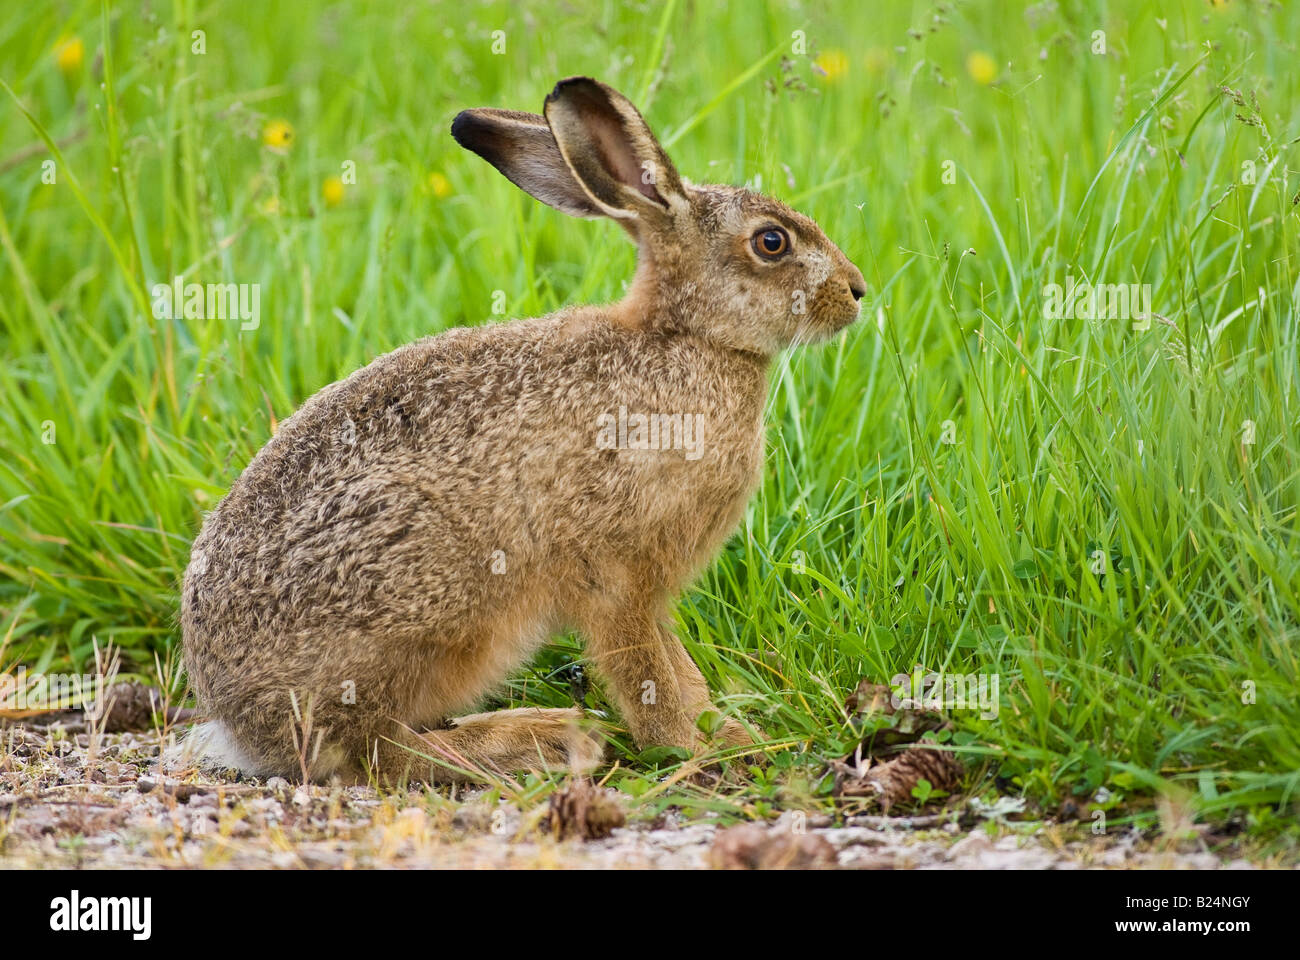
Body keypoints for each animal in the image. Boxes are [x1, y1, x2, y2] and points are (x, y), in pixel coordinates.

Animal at [178, 76, 865, 783]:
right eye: (772, 242)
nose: (857, 291)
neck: (686, 338)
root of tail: (241, 723)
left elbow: (677, 664)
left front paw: (727, 731)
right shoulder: (616, 575)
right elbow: (644, 668)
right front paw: (689, 747)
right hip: (432, 597)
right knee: (376, 752)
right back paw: (546, 736)